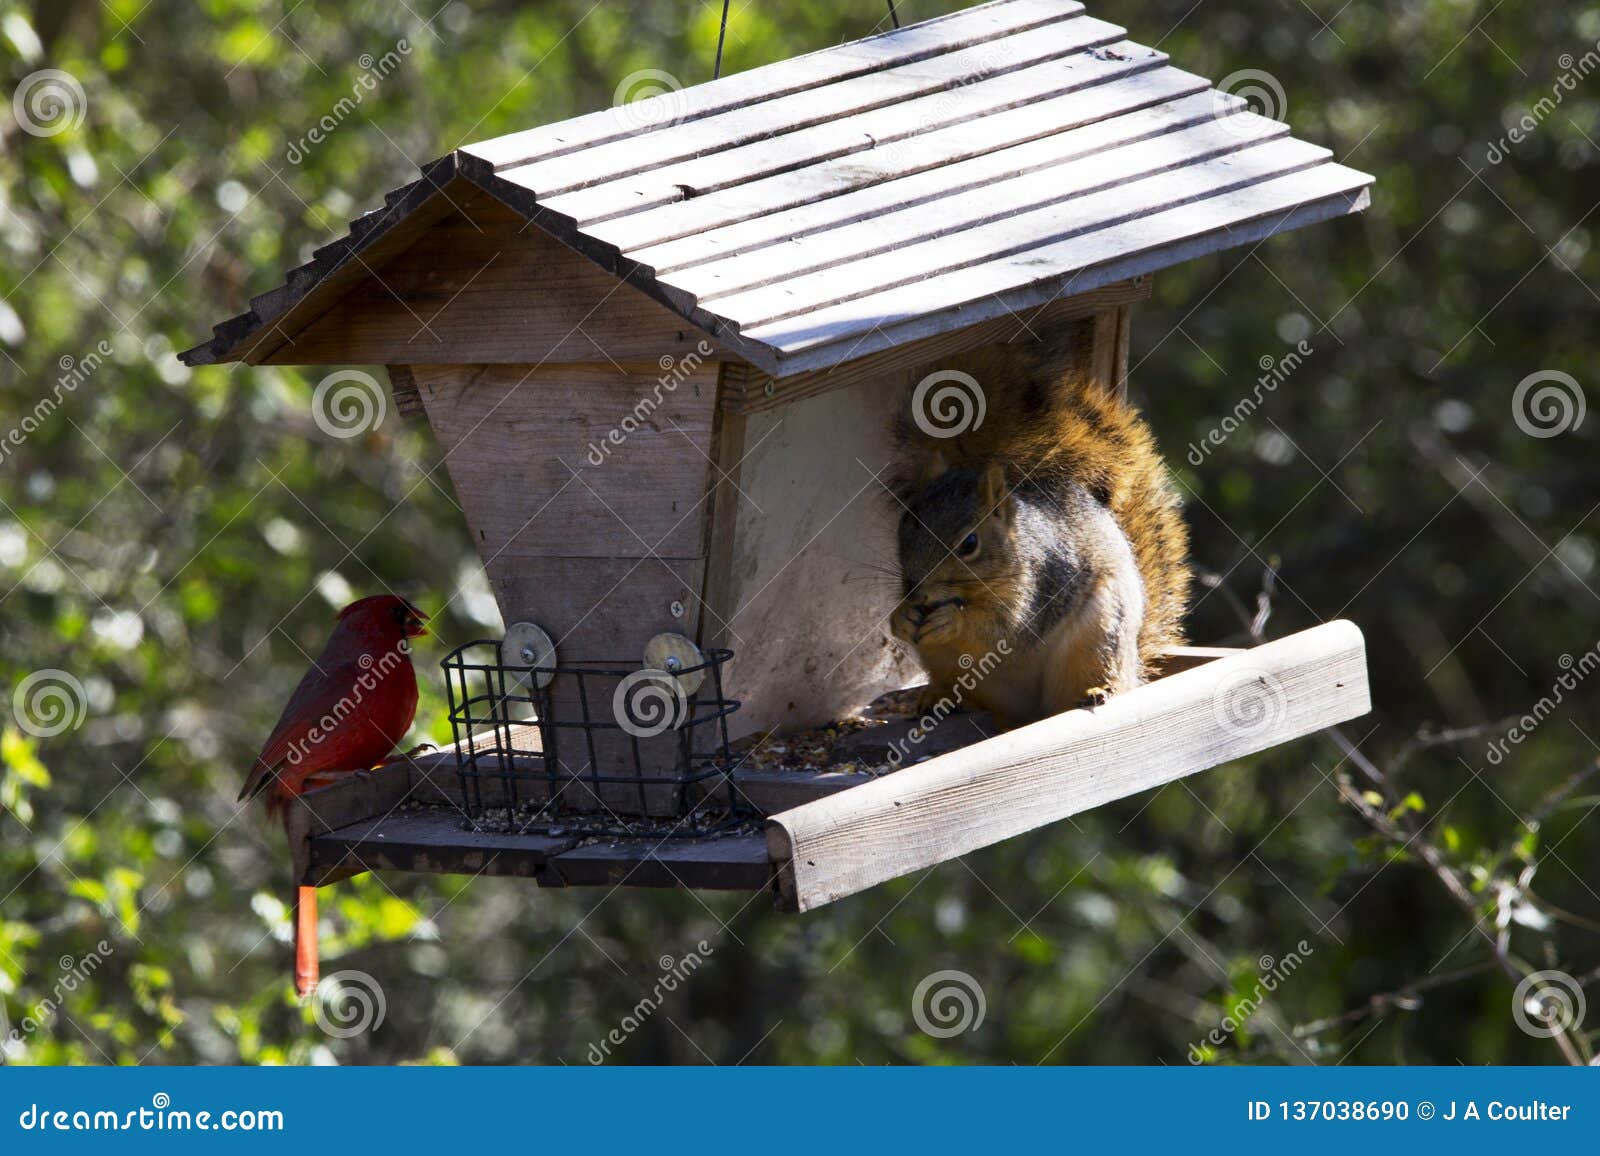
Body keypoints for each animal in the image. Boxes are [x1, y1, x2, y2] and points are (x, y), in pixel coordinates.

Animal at [888, 335, 1190, 730]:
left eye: (969, 543)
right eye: (906, 521)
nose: (915, 592)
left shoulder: (1041, 582)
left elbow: (1002, 629)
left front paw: (954, 620)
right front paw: (900, 617)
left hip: (1099, 635)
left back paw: (1098, 690)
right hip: (945, 664)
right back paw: (937, 696)